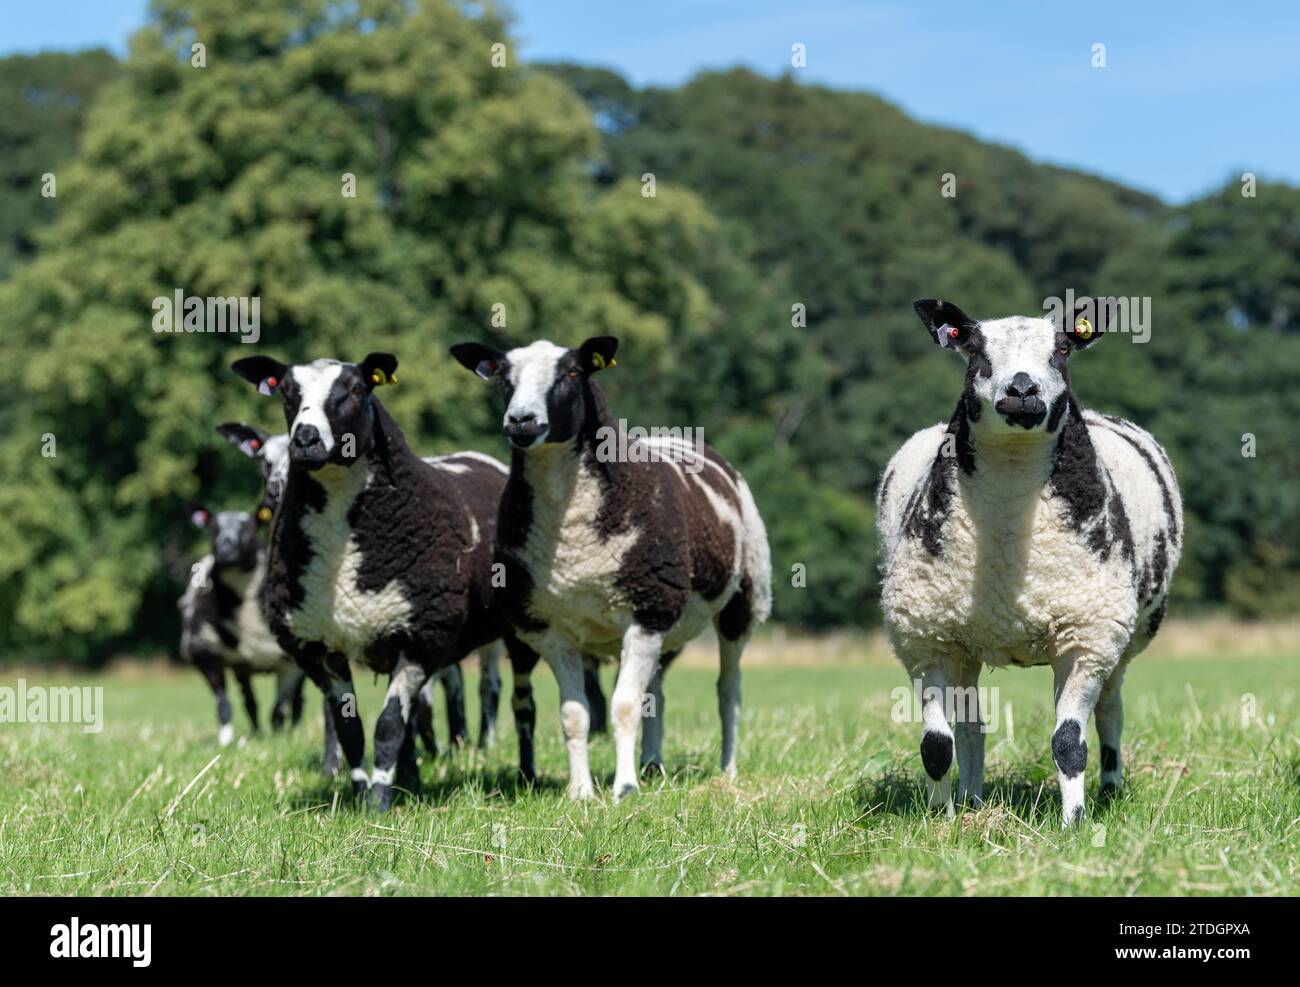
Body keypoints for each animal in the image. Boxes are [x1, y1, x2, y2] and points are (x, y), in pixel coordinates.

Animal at [178, 507, 305, 746]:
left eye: (248, 527)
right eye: (213, 527)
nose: (225, 549)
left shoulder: (289, 664)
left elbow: (279, 710)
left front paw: (279, 739)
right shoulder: (208, 655)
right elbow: (224, 705)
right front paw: (226, 741)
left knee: (298, 700)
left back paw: (293, 730)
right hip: (242, 665)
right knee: (250, 703)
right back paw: (255, 733)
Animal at [229, 352, 553, 811]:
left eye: (355, 389)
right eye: (287, 391)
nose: (305, 439)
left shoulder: (421, 638)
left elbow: (387, 726)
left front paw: (379, 802)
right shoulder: (321, 647)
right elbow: (351, 730)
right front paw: (360, 793)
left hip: (517, 628)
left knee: (522, 704)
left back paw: (526, 774)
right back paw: (411, 777)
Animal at [450, 336, 773, 801]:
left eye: (571, 373)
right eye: (504, 378)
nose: (520, 421)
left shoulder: (646, 611)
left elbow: (623, 708)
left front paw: (624, 789)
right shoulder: (547, 628)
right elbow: (575, 715)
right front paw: (581, 792)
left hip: (743, 600)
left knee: (728, 690)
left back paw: (727, 770)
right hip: (666, 623)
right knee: (657, 692)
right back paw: (653, 765)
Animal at [876, 299, 1182, 826]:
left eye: (1062, 349)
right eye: (974, 349)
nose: (1022, 390)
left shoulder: (1086, 637)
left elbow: (1069, 742)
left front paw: (1073, 824)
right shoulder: (927, 639)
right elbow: (936, 746)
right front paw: (941, 822)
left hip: (1121, 640)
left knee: (1110, 711)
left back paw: (1109, 788)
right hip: (968, 640)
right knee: (971, 724)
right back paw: (971, 798)